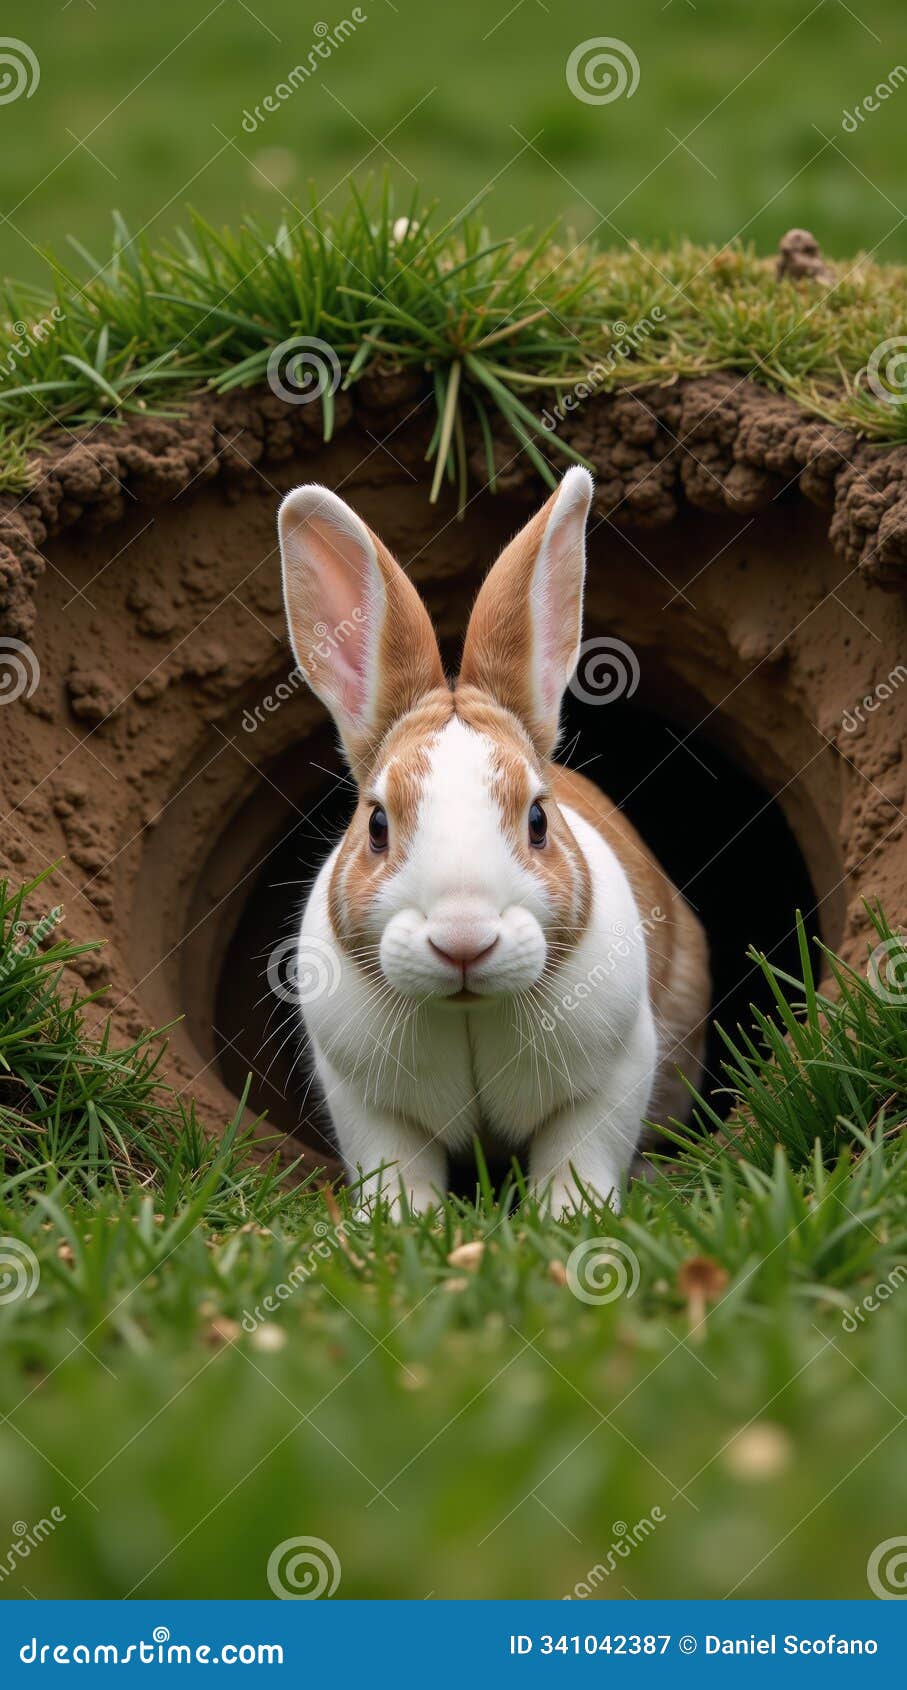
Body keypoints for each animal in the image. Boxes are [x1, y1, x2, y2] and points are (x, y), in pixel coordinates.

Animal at [277, 467, 710, 1215]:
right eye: (377, 825)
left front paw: (569, 1217)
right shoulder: (366, 1102)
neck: (468, 1013)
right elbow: (396, 1166)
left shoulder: (613, 1076)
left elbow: (578, 1155)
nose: (462, 940)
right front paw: (398, 1221)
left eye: (537, 820)